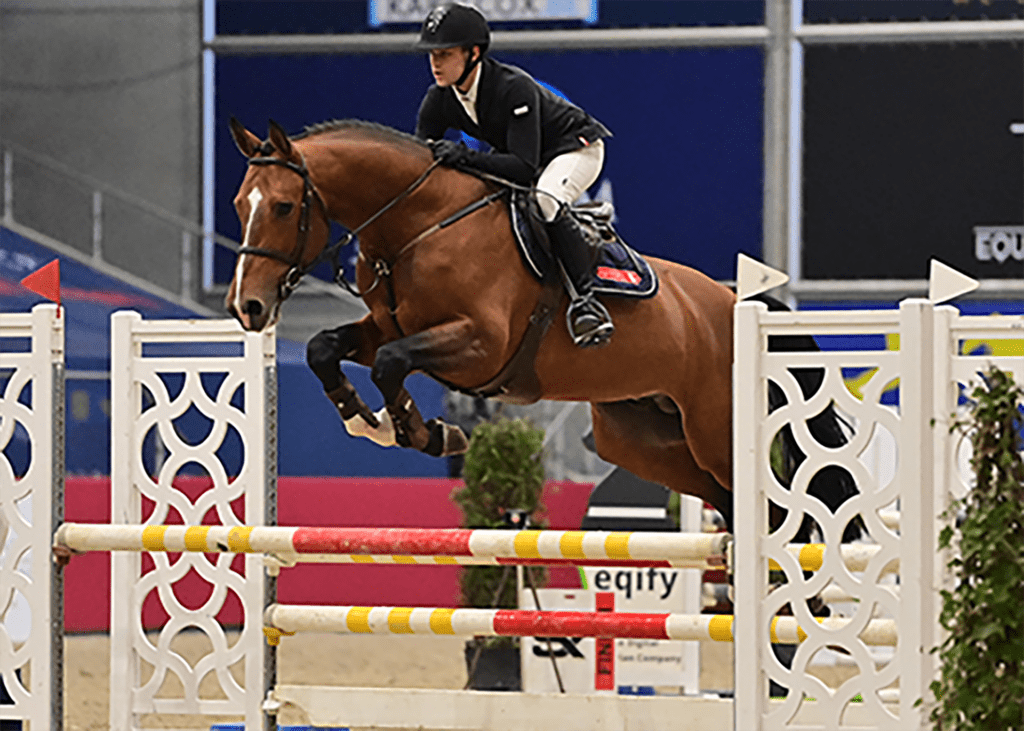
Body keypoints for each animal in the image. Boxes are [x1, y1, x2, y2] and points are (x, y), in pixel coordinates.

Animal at [226, 117, 859, 538]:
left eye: (283, 207)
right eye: (238, 205)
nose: (247, 308)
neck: (418, 225)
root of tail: (733, 301)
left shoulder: (480, 345)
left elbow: (391, 364)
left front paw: (422, 431)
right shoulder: (386, 326)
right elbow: (324, 348)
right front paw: (370, 421)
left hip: (715, 429)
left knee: (773, 516)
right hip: (642, 438)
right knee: (726, 502)